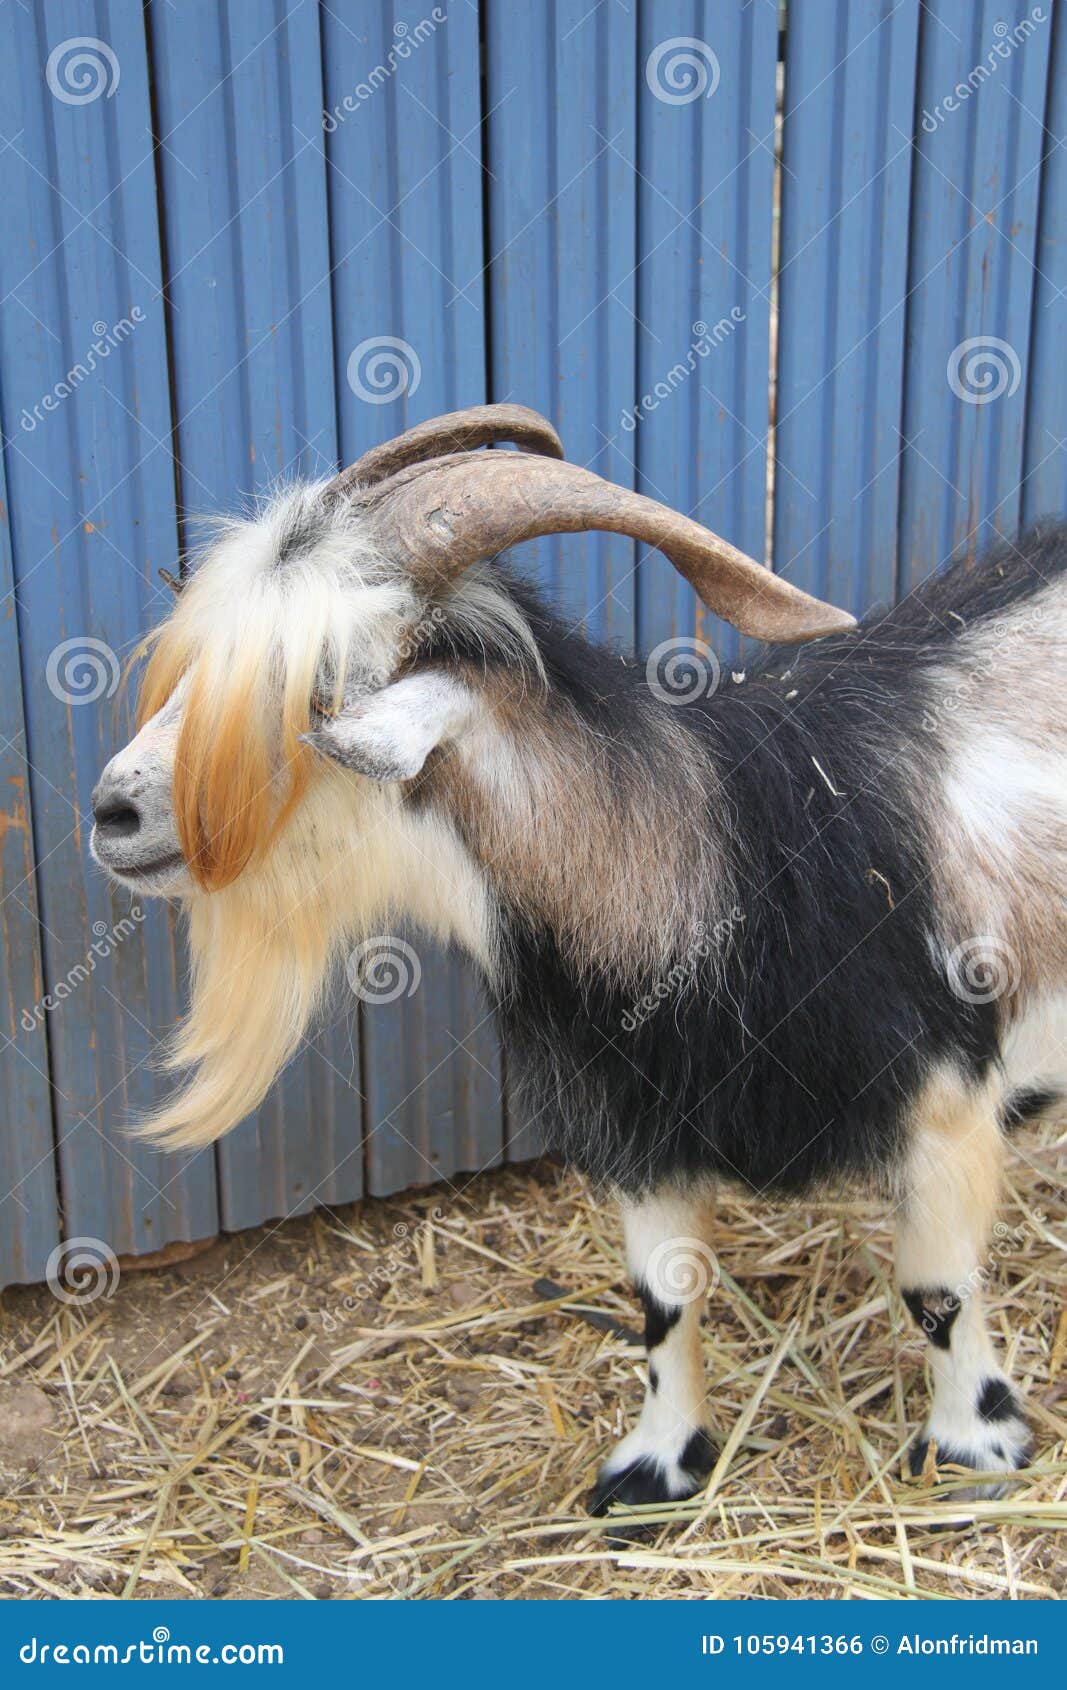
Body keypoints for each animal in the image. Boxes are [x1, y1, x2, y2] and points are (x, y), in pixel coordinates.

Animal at [91, 404, 1063, 1516]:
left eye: (320, 690)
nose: (111, 812)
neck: (731, 862)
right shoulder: (640, 1133)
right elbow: (663, 1304)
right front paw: (657, 1464)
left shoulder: (943, 1112)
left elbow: (935, 1292)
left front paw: (973, 1447)